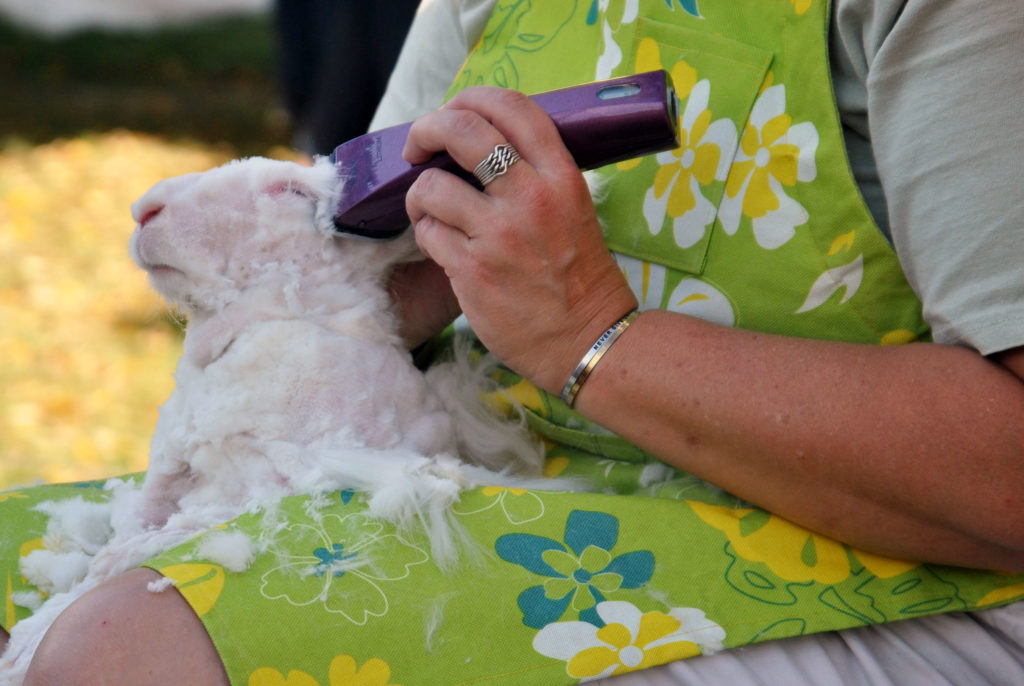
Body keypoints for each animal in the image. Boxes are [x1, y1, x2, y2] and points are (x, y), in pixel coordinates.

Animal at [0, 156, 567, 684]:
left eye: (291, 193)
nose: (145, 210)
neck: (262, 323)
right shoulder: (169, 473)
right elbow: (132, 531)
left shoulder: (269, 482)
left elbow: (131, 553)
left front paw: (25, 651)